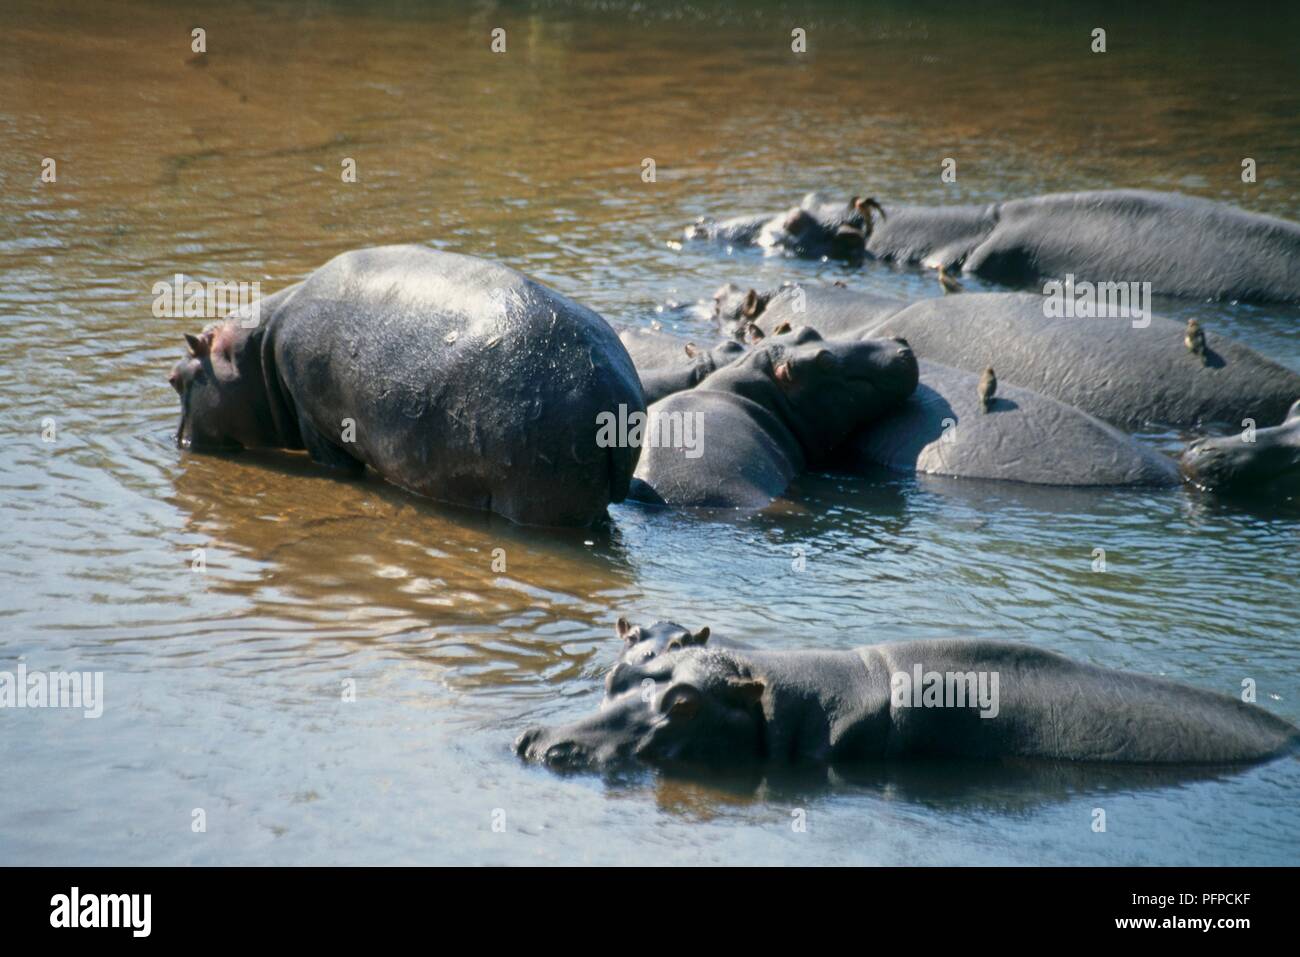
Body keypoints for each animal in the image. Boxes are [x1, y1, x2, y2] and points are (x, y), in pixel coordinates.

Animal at [168, 245, 644, 527]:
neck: (256, 349)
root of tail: (612, 390)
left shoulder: (315, 424)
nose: (178, 441)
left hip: (534, 498)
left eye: (175, 379)